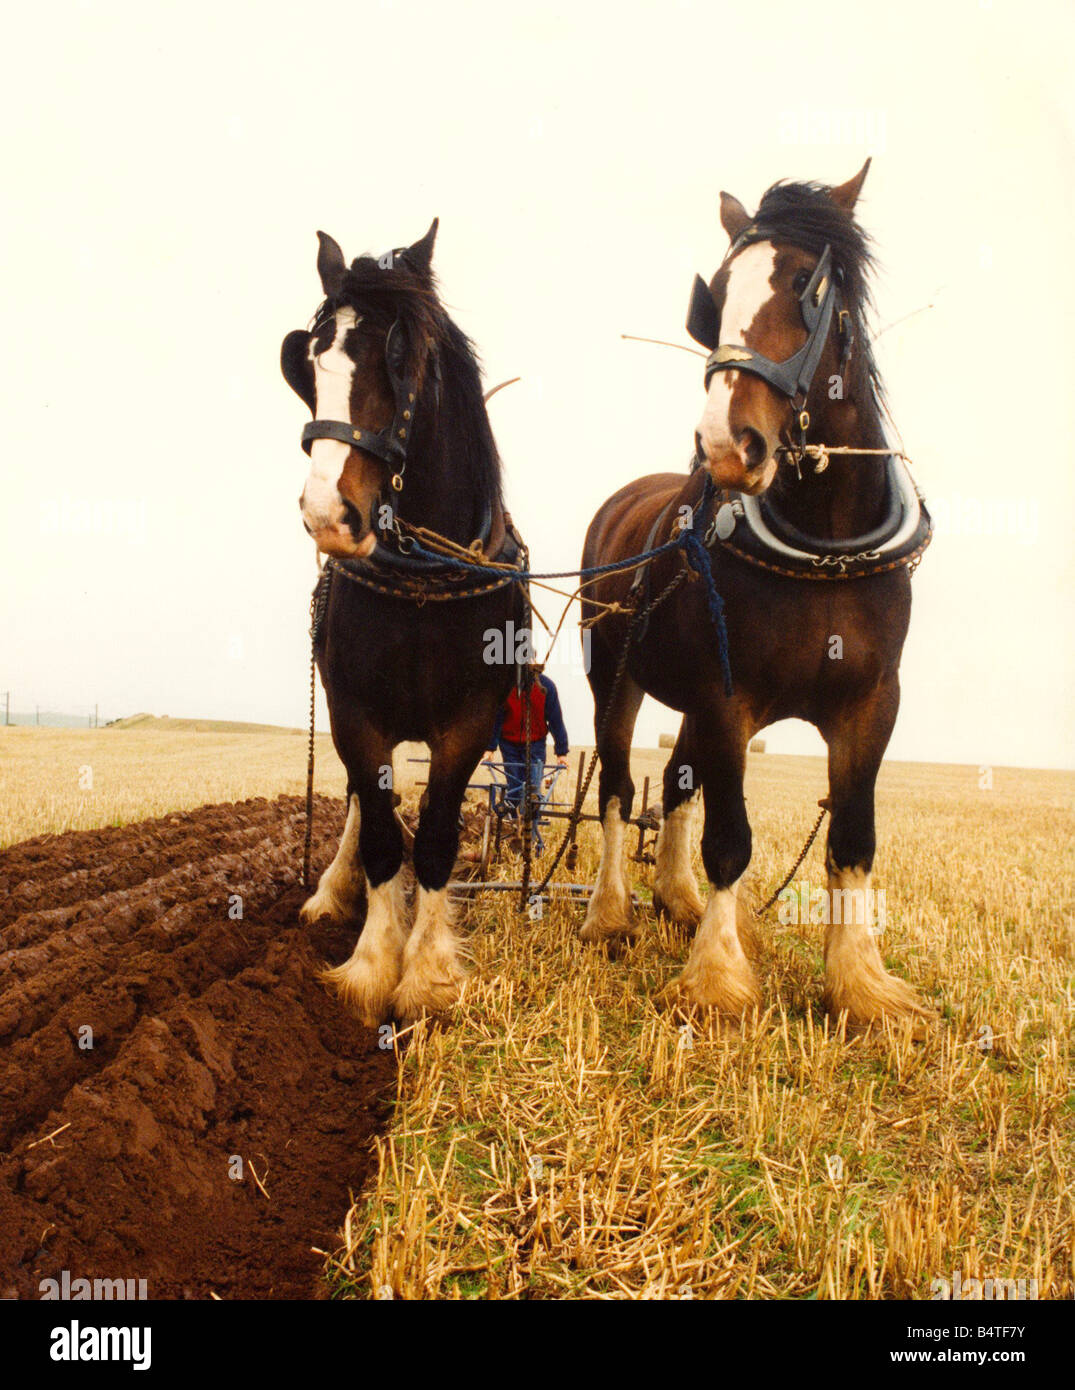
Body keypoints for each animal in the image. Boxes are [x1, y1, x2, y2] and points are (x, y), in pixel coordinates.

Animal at [280, 221, 524, 1026]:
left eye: (403, 358)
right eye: (309, 360)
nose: (328, 514)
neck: (420, 583)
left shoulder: (471, 721)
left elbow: (439, 836)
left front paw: (426, 976)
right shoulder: (355, 714)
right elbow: (386, 835)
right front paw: (367, 967)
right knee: (364, 806)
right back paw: (333, 892)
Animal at [579, 162, 934, 1030]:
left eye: (809, 286)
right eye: (715, 298)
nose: (722, 445)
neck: (824, 542)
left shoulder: (871, 702)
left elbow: (852, 839)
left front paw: (861, 984)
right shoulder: (726, 695)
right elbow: (729, 839)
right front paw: (716, 978)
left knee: (674, 783)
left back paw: (673, 899)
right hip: (614, 678)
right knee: (615, 788)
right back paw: (608, 912)